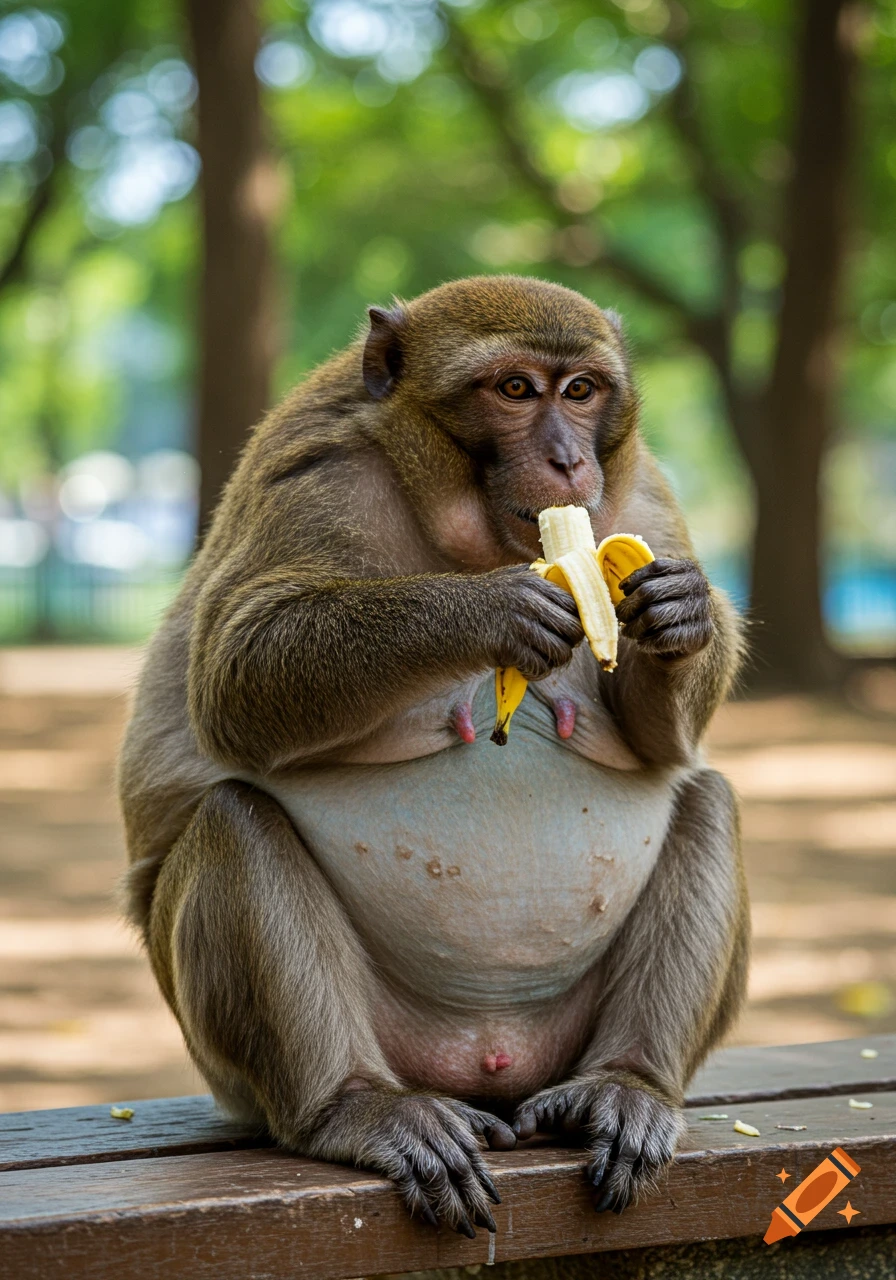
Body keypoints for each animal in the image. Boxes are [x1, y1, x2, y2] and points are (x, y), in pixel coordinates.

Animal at [118, 275, 749, 1238]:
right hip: (247, 1065)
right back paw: (355, 1107)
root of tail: (486, 1061)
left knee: (707, 797)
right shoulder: (316, 479)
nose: (568, 461)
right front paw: (489, 609)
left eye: (581, 391)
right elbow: (233, 673)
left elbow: (666, 745)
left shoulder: (642, 500)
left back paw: (627, 1084)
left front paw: (684, 615)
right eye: (515, 390)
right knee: (235, 820)